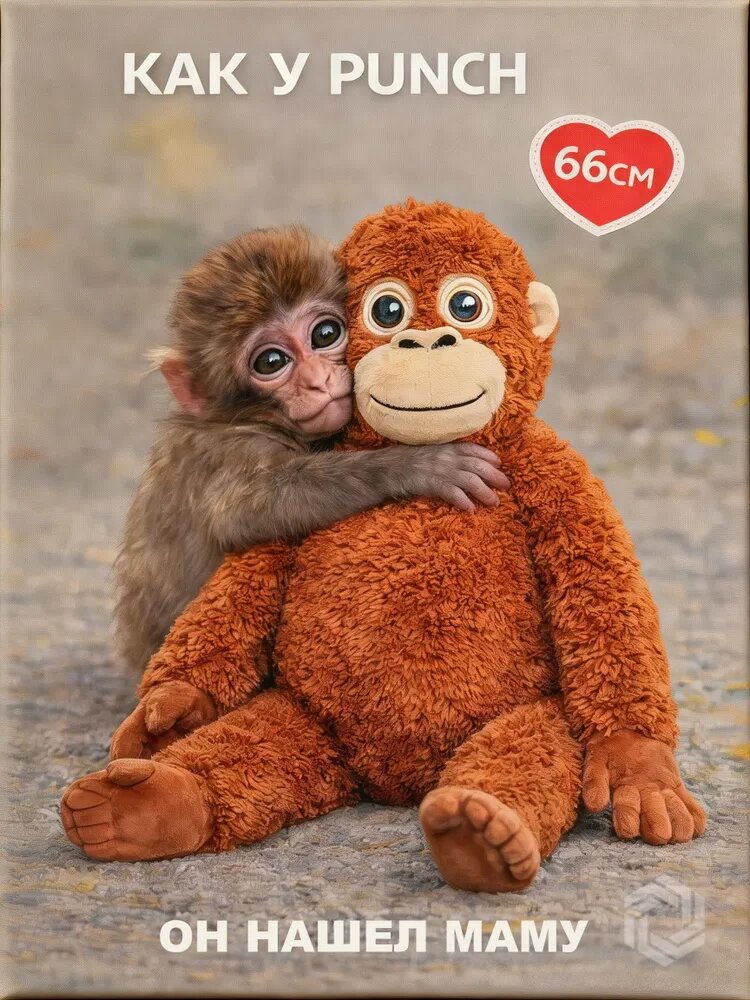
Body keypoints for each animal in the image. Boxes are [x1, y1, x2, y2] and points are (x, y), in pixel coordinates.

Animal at [114, 226, 510, 671]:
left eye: (325, 334)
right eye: (271, 362)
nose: (318, 380)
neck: (249, 417)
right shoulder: (226, 451)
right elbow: (250, 506)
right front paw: (423, 465)